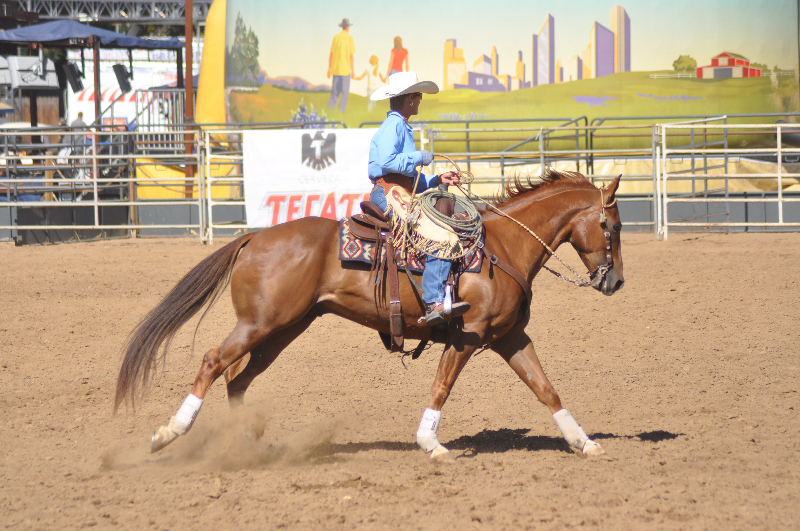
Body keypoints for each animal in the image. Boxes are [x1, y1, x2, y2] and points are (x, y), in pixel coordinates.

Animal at [115, 170, 625, 460]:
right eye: (613, 227)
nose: (616, 282)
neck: (501, 249)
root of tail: (253, 237)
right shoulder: (468, 337)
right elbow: (441, 386)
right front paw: (431, 444)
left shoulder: (509, 337)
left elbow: (546, 388)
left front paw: (584, 442)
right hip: (260, 325)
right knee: (213, 362)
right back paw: (170, 432)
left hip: (282, 329)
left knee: (237, 378)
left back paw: (246, 440)